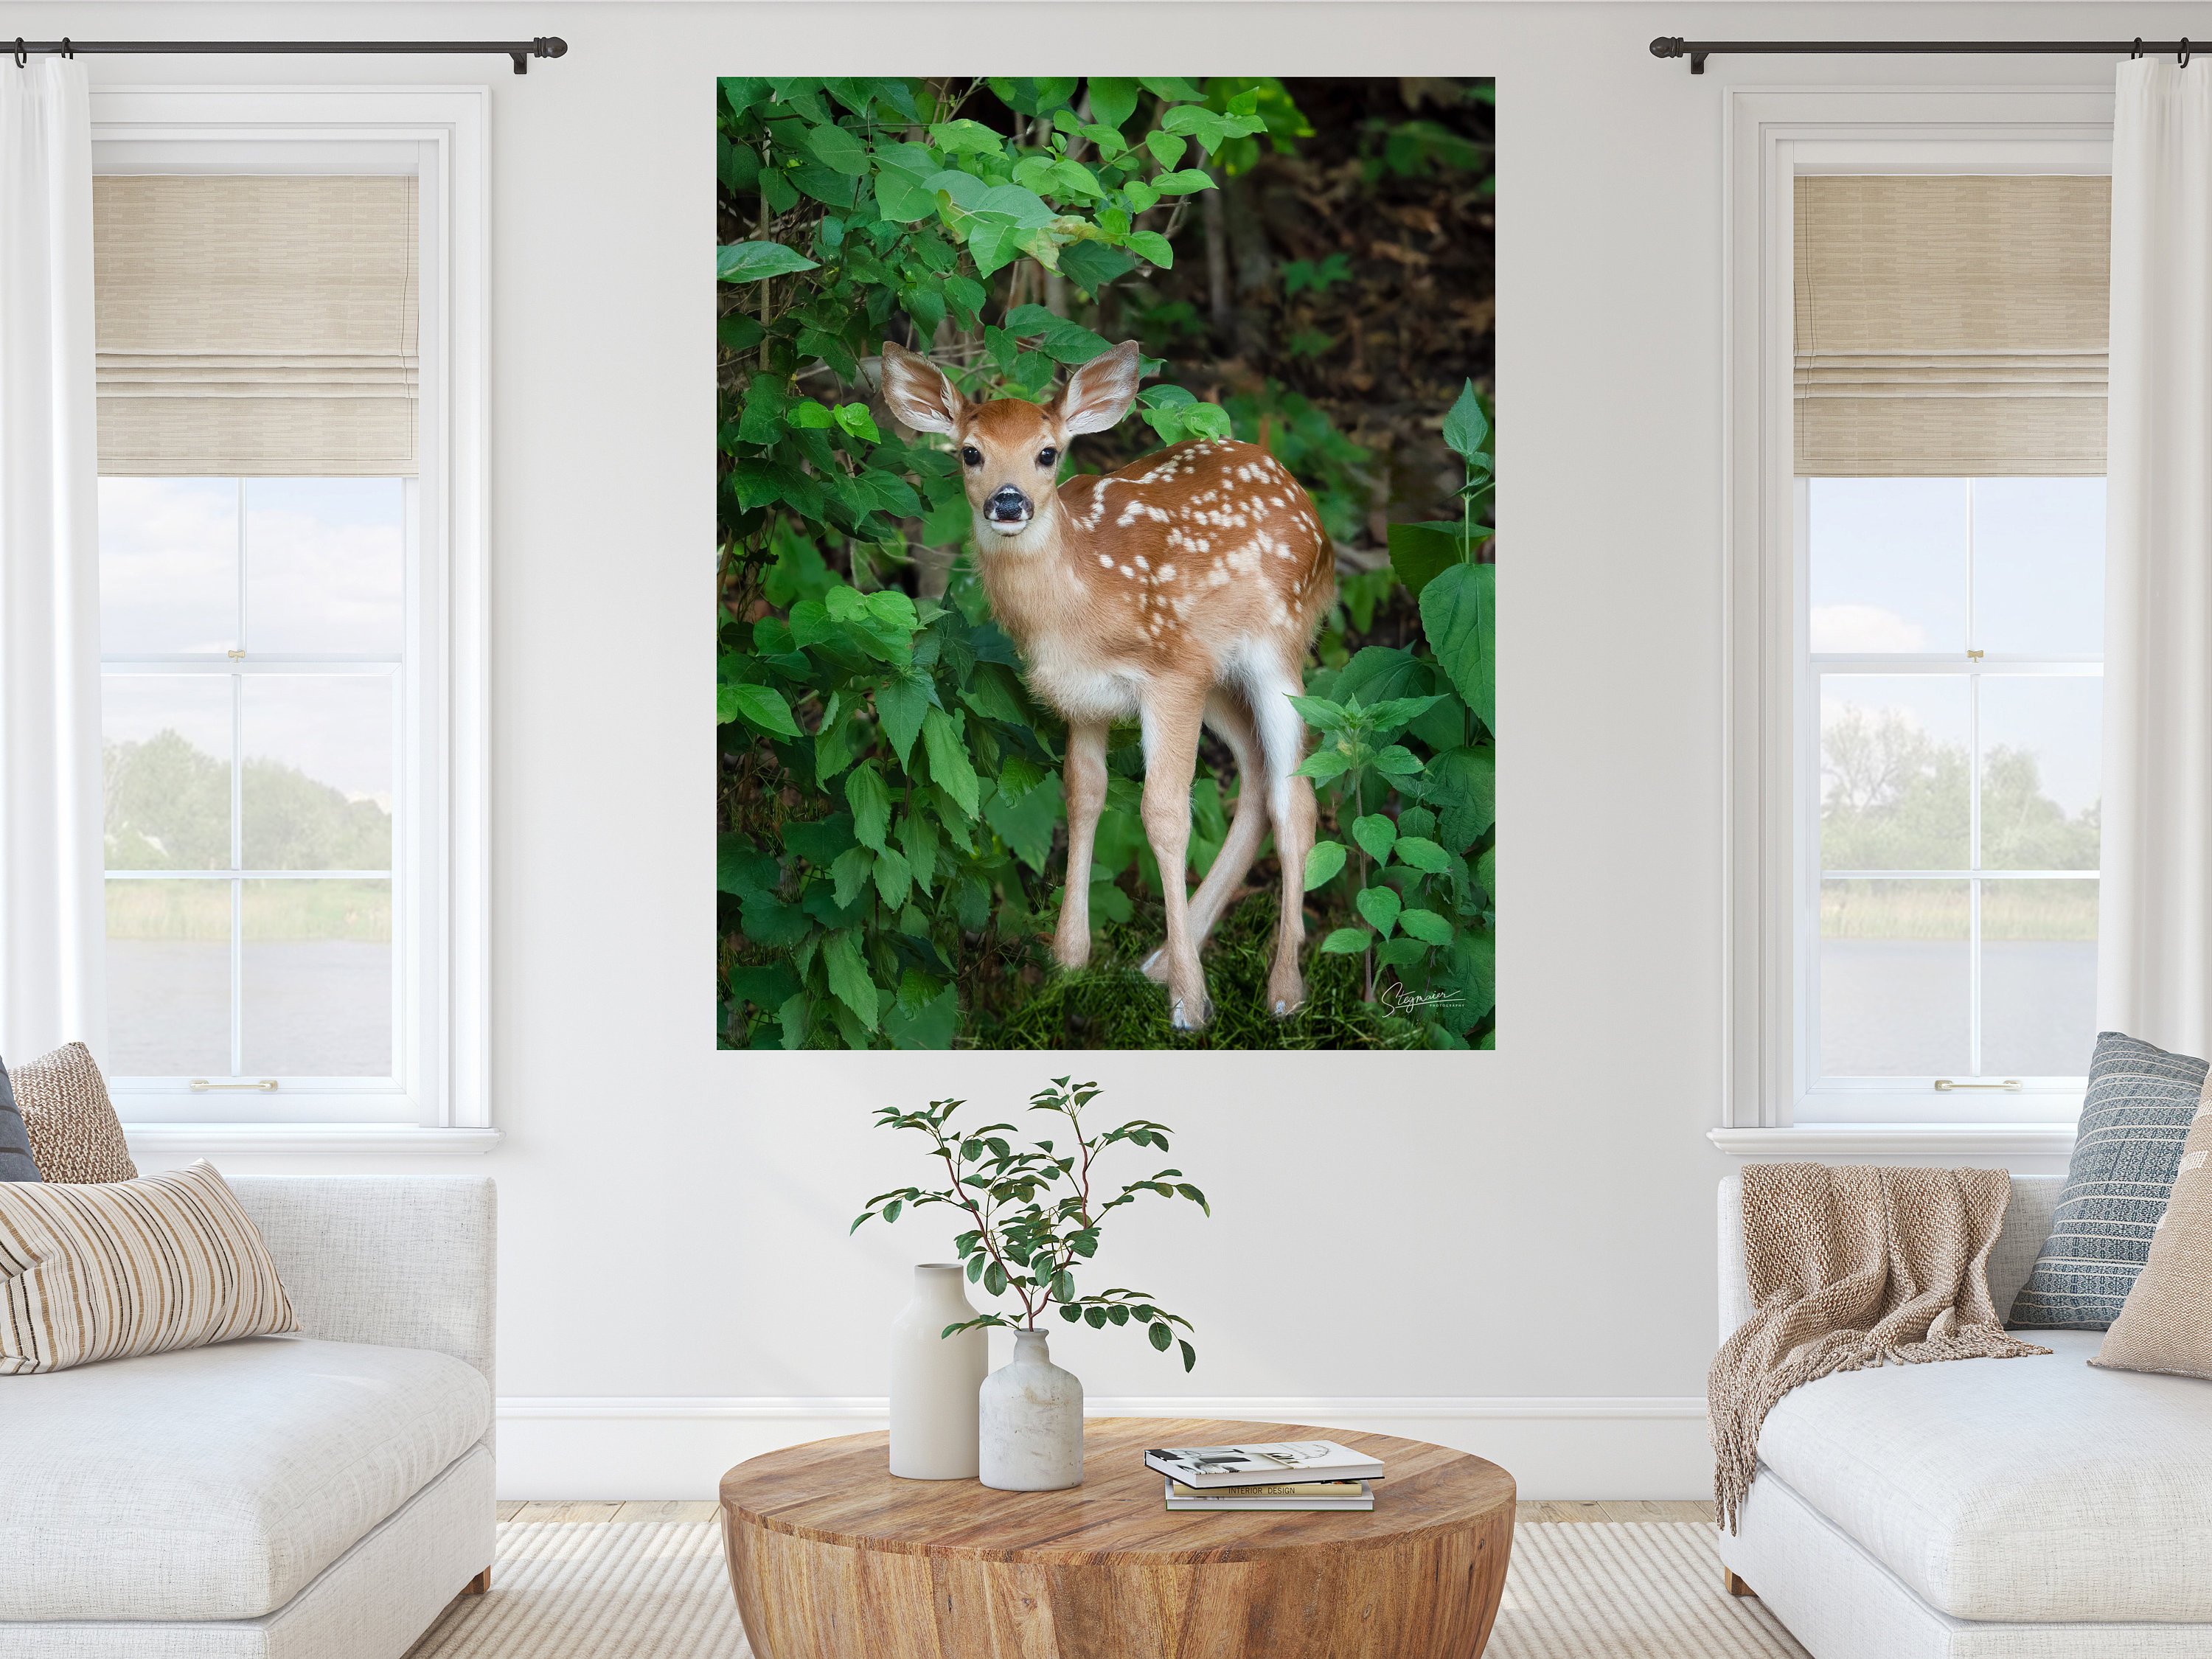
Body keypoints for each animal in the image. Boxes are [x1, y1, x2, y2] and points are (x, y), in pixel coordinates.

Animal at [879, 339, 1335, 1030]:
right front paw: (1069, 963)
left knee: (1295, 799)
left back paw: (1282, 991)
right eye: (970, 452)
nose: (1008, 502)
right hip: (1218, 679)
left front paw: (1190, 1005)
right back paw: (1159, 962)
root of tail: (1304, 499)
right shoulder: (1086, 695)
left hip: (1278, 646)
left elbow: (1164, 814)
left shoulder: (1171, 674)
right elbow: (1083, 796)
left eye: (1048, 453)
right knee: (1257, 777)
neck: (1079, 599)